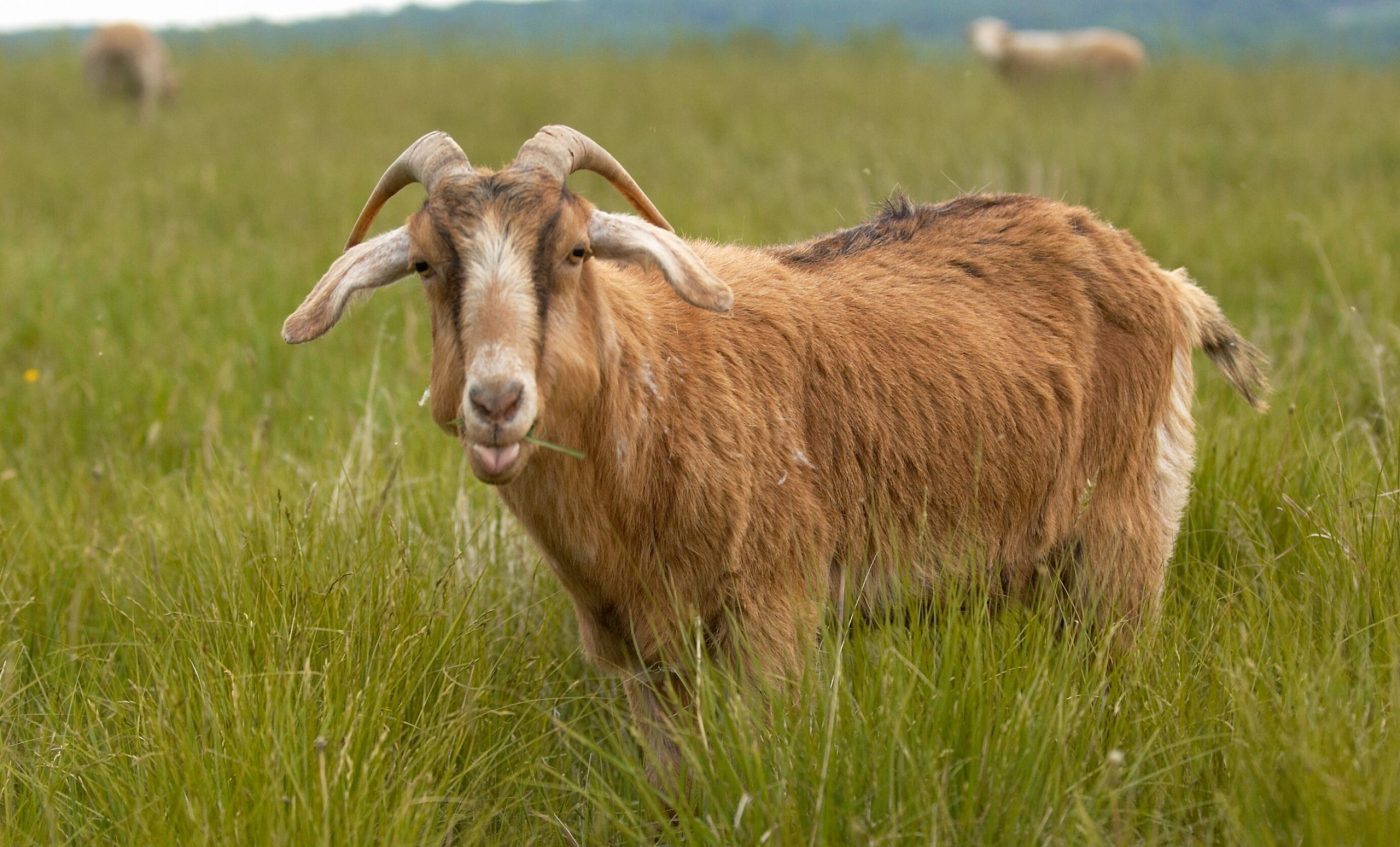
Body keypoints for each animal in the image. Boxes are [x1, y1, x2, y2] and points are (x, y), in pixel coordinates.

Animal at [282, 126, 1267, 783]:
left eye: (576, 250)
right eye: (424, 264)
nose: (495, 402)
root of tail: (1168, 284)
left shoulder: (775, 614)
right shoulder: (640, 654)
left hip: (1125, 542)